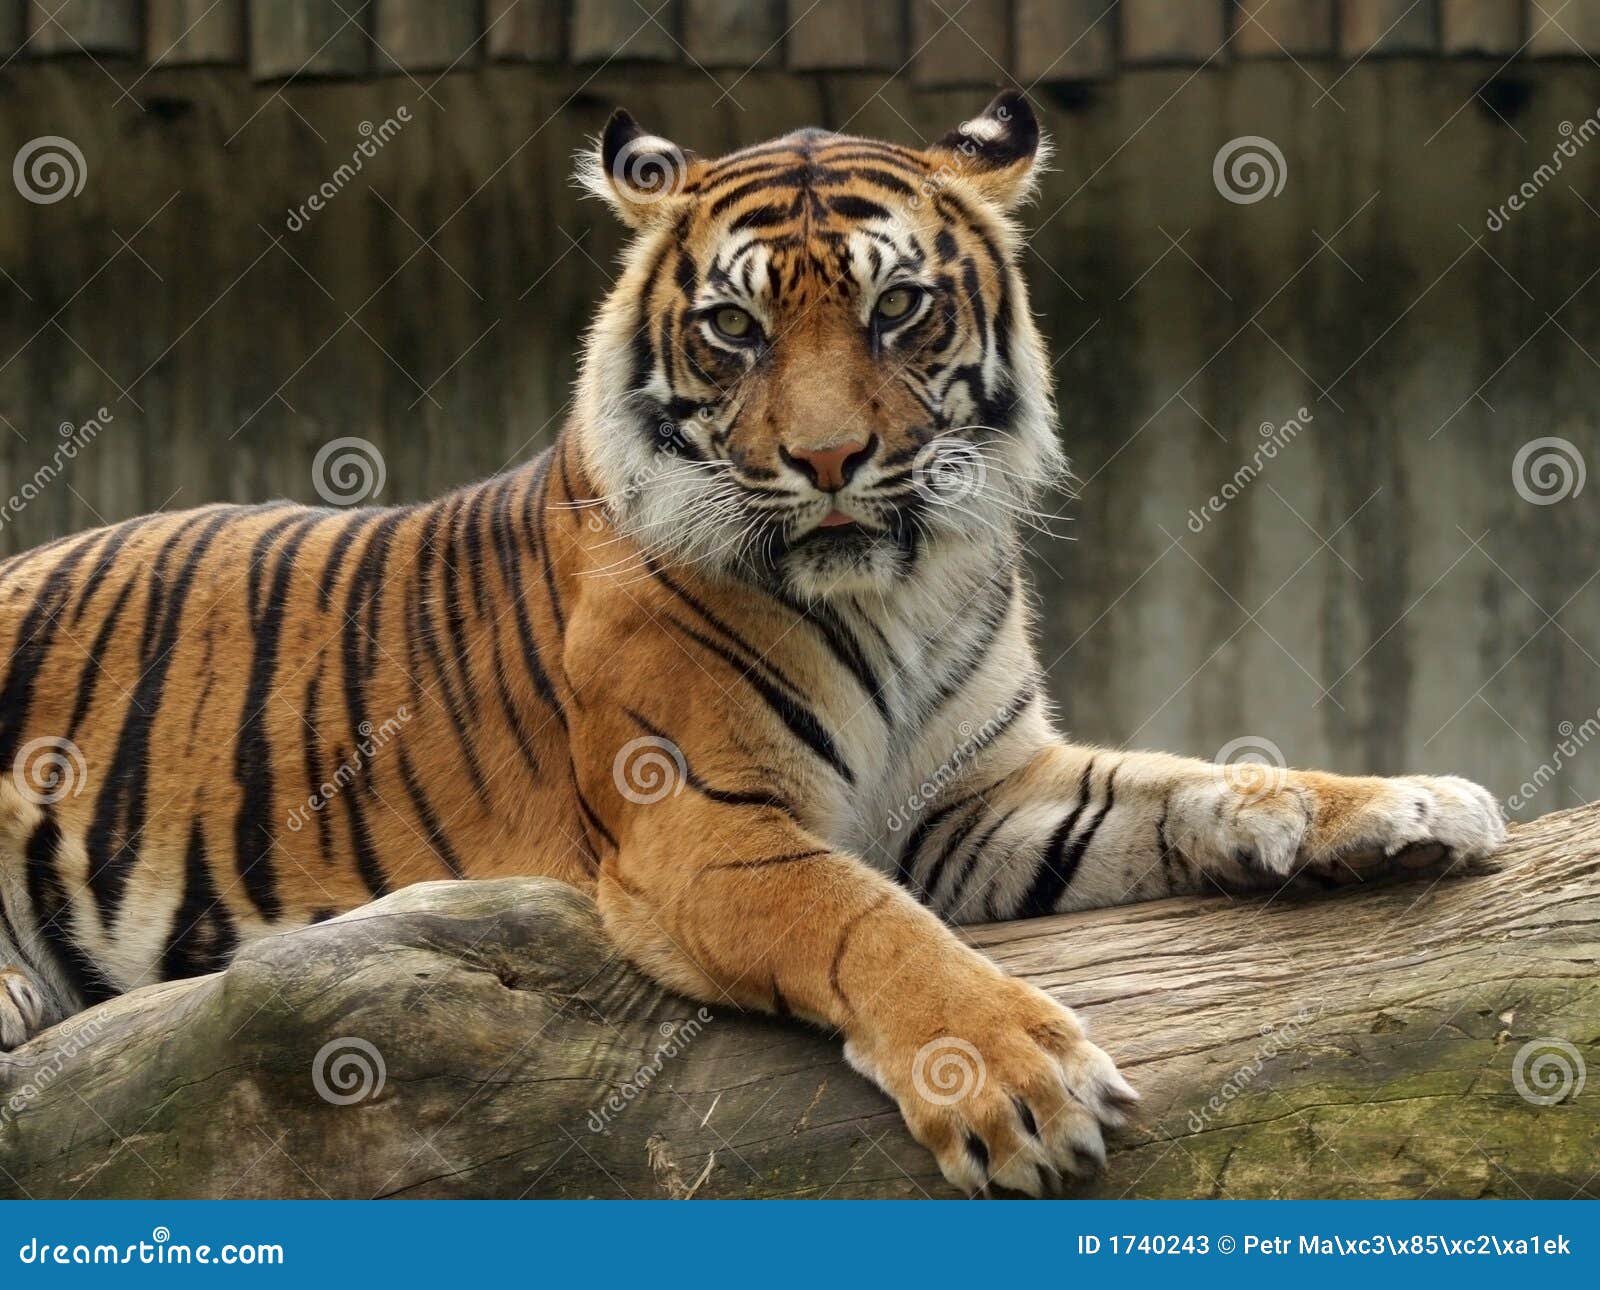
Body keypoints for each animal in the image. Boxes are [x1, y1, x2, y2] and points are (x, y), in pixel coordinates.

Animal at [0, 92, 1504, 1196]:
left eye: (898, 309)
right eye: (734, 327)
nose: (829, 458)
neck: (898, 590)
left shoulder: (978, 799)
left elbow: (1188, 780)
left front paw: (1400, 808)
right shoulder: (706, 827)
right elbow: (863, 921)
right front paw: (1016, 1082)